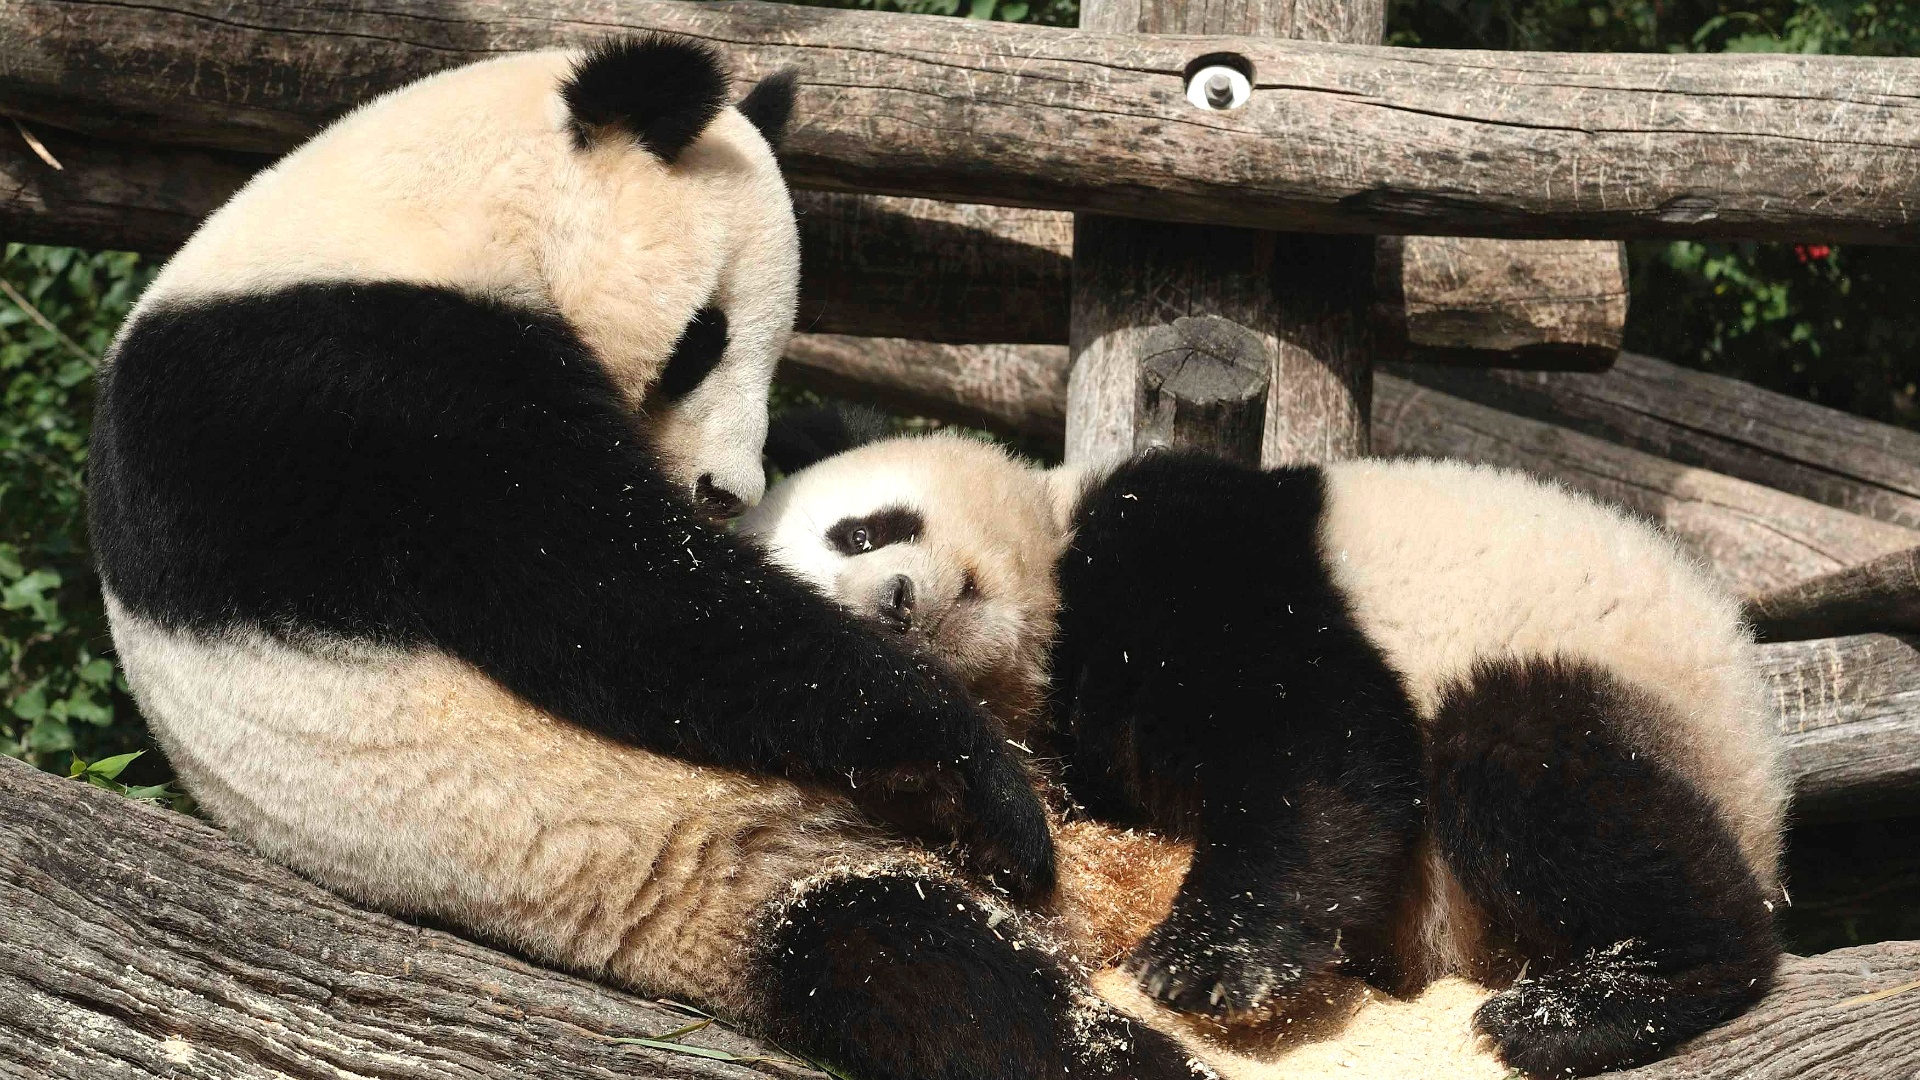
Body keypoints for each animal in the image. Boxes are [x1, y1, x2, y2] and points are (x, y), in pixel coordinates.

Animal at [87, 38, 1211, 1080]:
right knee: (932, 972)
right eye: (703, 338)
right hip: (692, 868)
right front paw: (987, 784)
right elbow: (620, 603)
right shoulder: (350, 388)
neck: (408, 211)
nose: (726, 494)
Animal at [741, 421, 1788, 1078]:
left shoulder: (1179, 530)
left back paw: (1598, 1003)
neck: (1041, 635)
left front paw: (1203, 963)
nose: (894, 608)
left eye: (861, 531)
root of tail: (1767, 801)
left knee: (1523, 752)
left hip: (1656, 699)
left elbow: (1312, 729)